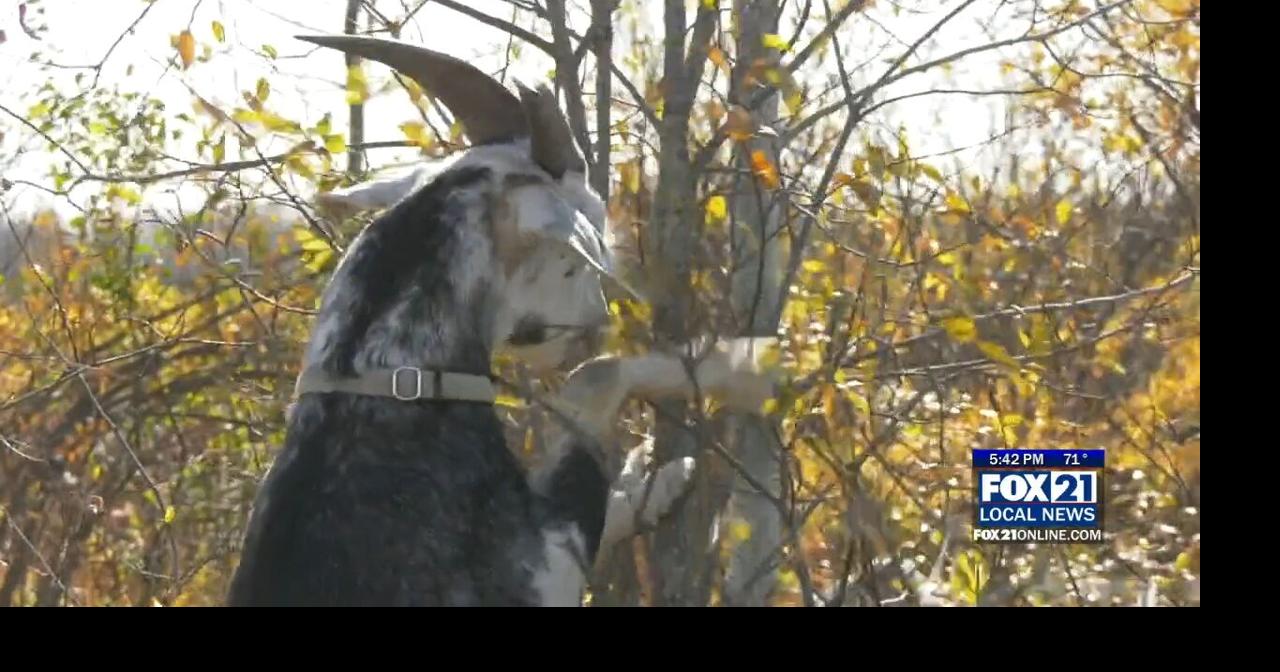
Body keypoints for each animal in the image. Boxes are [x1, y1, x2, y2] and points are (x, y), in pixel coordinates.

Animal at [225, 35, 772, 607]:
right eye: (576, 256)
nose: (595, 320)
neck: (381, 377)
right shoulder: (551, 567)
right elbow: (598, 376)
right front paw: (744, 372)